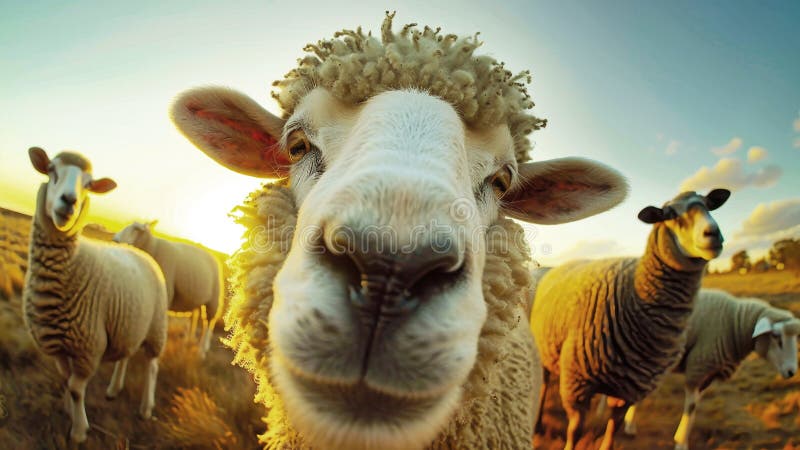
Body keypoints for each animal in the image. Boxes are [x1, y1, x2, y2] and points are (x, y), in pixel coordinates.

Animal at [22, 147, 168, 443]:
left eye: (89, 184)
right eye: (51, 170)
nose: (69, 200)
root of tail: (140, 251)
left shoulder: (88, 347)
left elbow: (77, 389)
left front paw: (79, 431)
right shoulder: (57, 346)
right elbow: (66, 381)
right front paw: (67, 410)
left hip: (157, 326)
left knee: (152, 366)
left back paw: (146, 408)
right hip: (130, 321)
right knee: (126, 355)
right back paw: (114, 389)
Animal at [114, 220, 224, 358]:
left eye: (137, 229)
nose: (115, 239)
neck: (153, 247)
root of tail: (212, 255)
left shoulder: (167, 292)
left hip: (214, 298)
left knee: (209, 322)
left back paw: (202, 350)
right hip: (197, 297)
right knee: (195, 316)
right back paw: (189, 340)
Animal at [531, 188, 730, 450]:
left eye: (708, 204)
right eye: (669, 214)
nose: (713, 233)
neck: (635, 293)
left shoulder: (631, 388)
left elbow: (613, 428)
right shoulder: (577, 384)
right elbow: (575, 430)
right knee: (544, 385)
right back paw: (537, 425)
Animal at [605, 288, 800, 450]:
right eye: (776, 336)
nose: (791, 372)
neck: (734, 325)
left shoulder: (709, 374)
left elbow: (695, 405)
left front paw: (681, 438)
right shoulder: (698, 366)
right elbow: (691, 407)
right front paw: (680, 443)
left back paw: (626, 424)